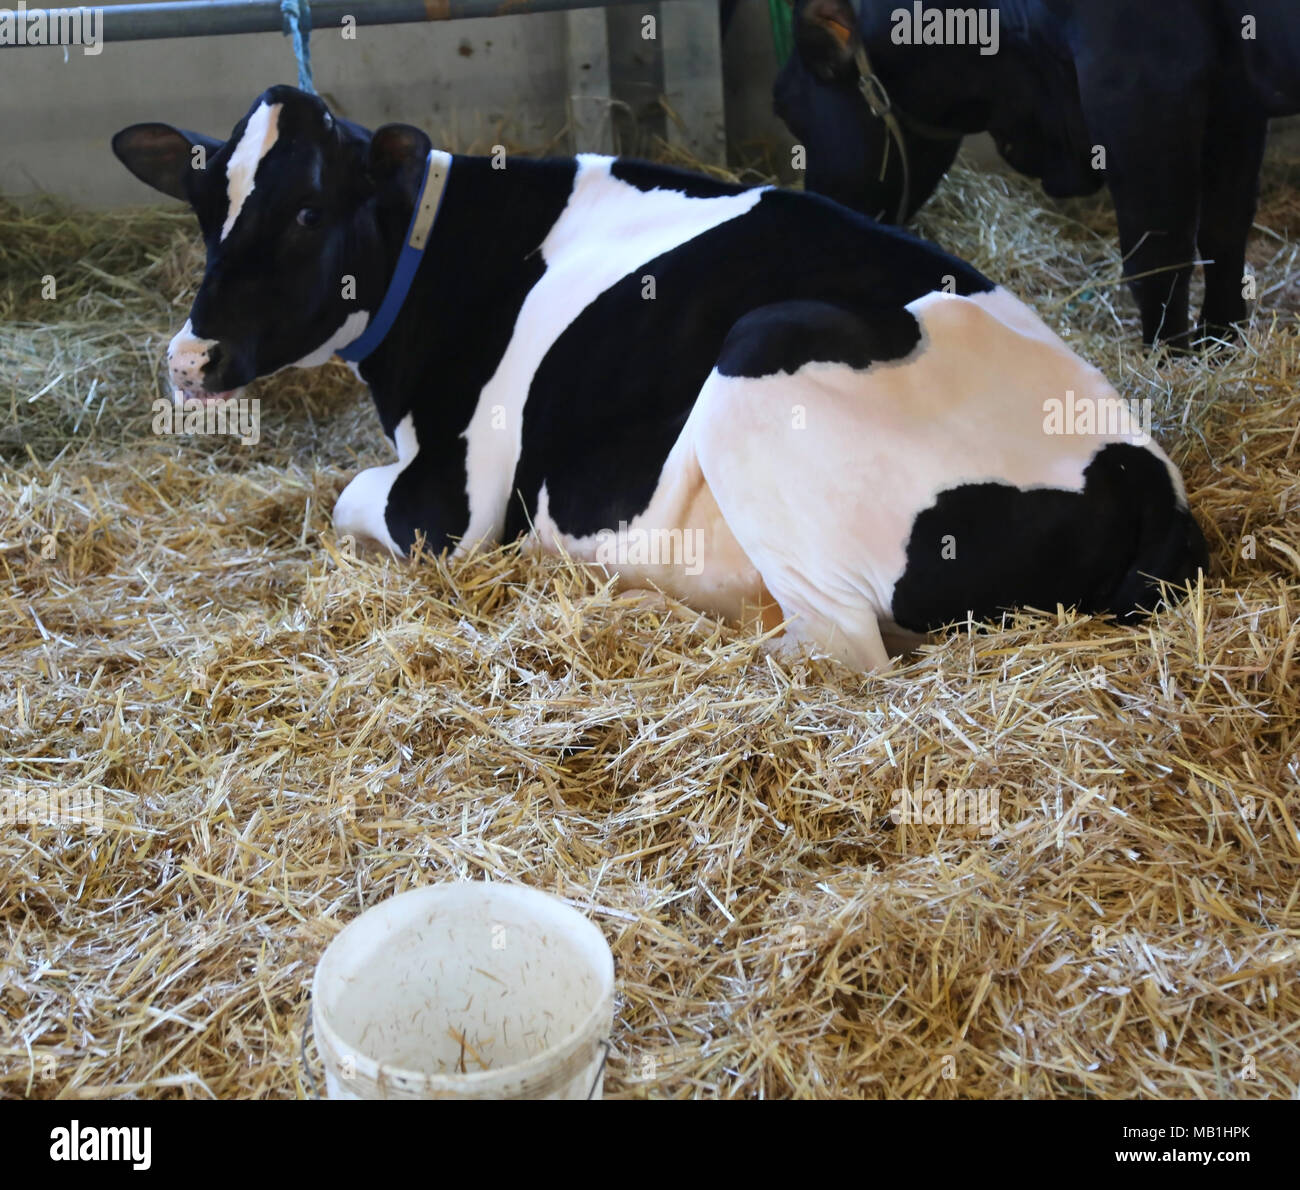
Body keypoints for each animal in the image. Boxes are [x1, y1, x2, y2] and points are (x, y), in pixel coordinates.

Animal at [111, 86, 1206, 671]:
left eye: (305, 211)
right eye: (207, 206)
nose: (189, 359)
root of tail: (1137, 473)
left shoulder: (450, 504)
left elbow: (349, 496)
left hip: (762, 354)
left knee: (838, 644)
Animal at [774, 0, 1300, 348]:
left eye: (787, 109)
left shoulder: (1143, 83)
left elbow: (1157, 256)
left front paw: (1168, 357)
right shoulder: (1235, 97)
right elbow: (1224, 232)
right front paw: (1221, 340)